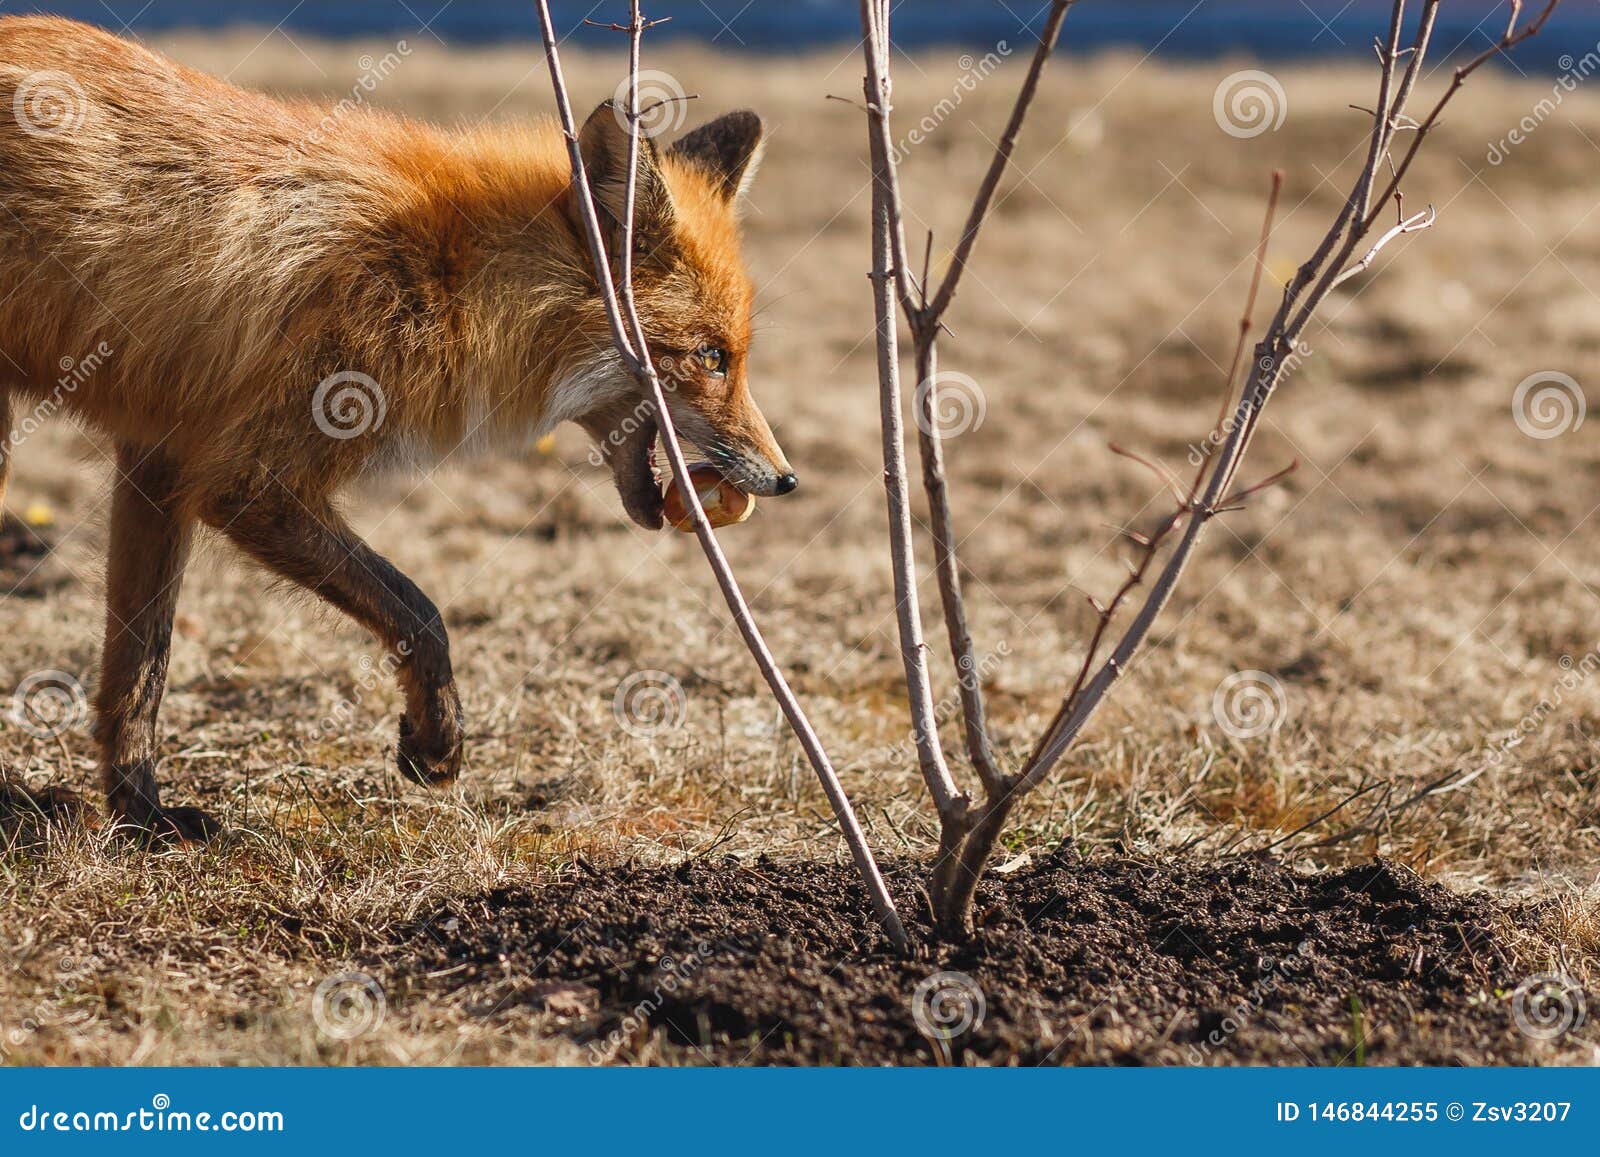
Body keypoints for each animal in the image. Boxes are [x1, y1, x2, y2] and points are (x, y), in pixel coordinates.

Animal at [0, 16, 796, 840]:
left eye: (735, 355)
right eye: (712, 356)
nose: (786, 477)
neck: (446, 276)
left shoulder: (158, 455)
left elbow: (139, 669)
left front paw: (140, 816)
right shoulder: (250, 475)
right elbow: (419, 606)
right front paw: (437, 739)